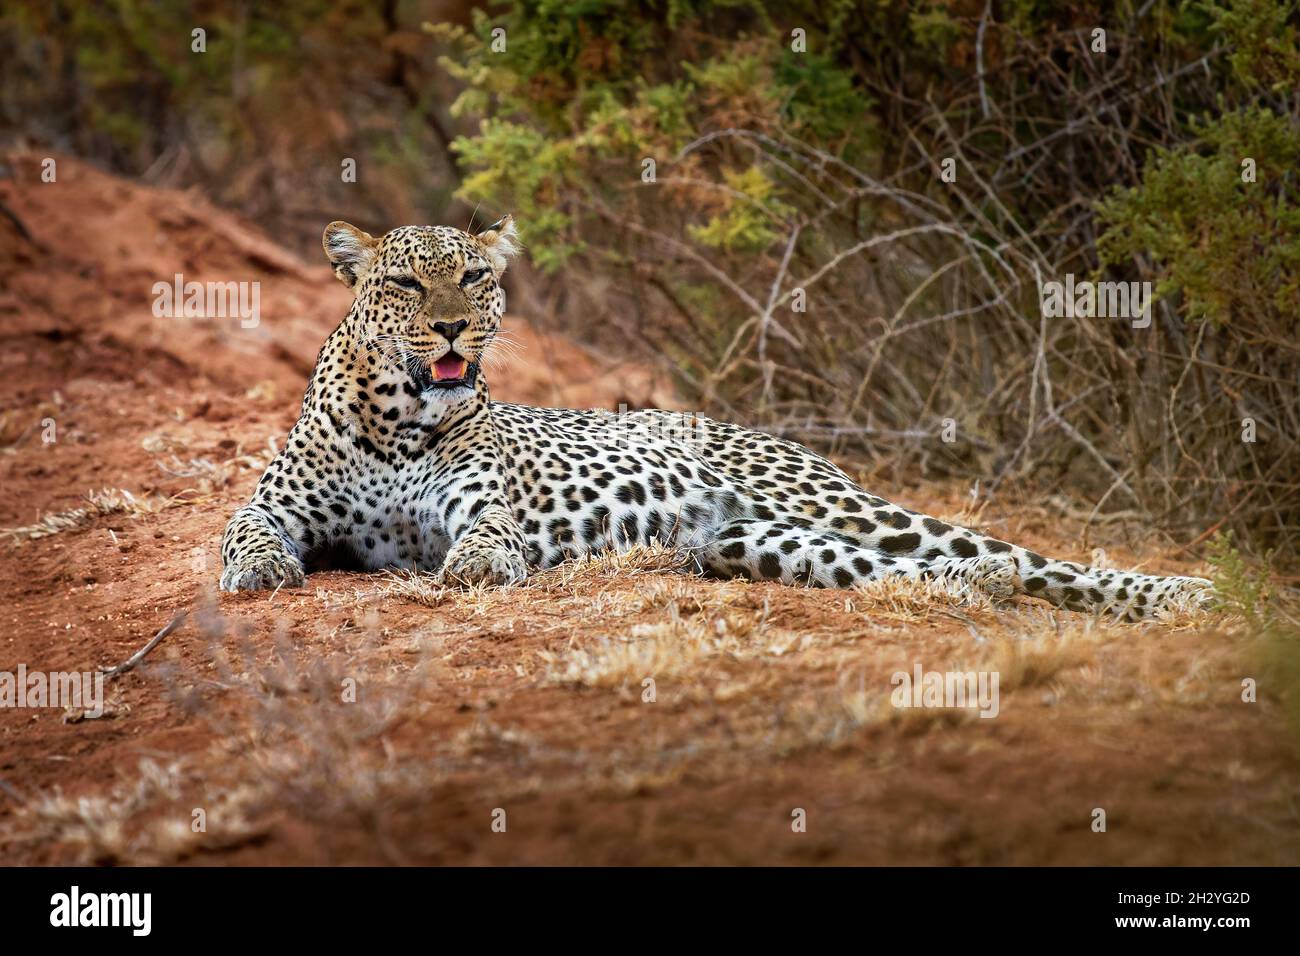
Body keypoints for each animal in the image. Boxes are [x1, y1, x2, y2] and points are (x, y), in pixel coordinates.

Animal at [220, 217, 1215, 621]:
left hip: (838, 506)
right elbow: (244, 528)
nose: (455, 327)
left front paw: (472, 569)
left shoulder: (480, 506)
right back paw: (974, 590)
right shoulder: (276, 503)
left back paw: (1184, 595)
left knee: (1033, 558)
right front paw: (261, 574)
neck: (397, 420)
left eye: (473, 277)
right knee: (939, 572)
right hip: (759, 543)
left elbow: (486, 536)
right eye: (403, 283)